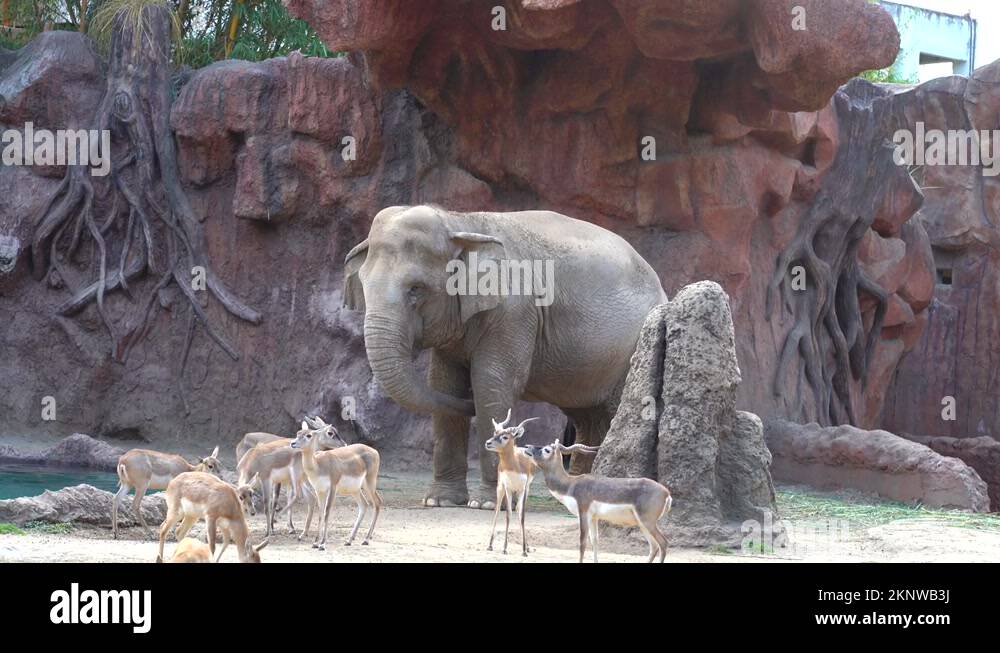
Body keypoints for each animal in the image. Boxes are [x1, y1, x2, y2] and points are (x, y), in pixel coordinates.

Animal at [343, 205, 666, 508]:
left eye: (416, 289)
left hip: (632, 349)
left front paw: (487, 502)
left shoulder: (514, 312)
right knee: (588, 417)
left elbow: (490, 383)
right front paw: (440, 501)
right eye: (363, 286)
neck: (461, 222)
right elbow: (444, 384)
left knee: (613, 409)